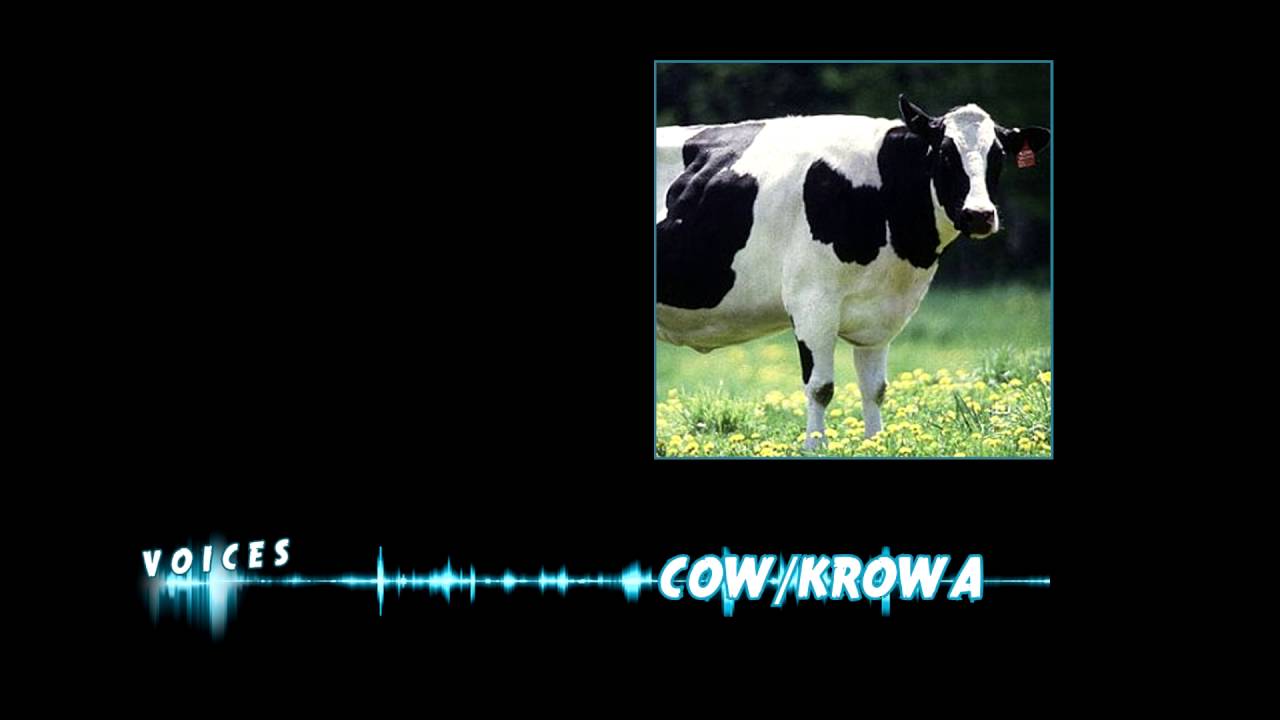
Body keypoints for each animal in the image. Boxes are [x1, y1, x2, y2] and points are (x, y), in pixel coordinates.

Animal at [656, 95, 1050, 449]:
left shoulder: (880, 315)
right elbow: (821, 388)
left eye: (998, 156)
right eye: (945, 153)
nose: (979, 215)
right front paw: (815, 448)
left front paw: (875, 443)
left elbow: (875, 389)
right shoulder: (812, 302)